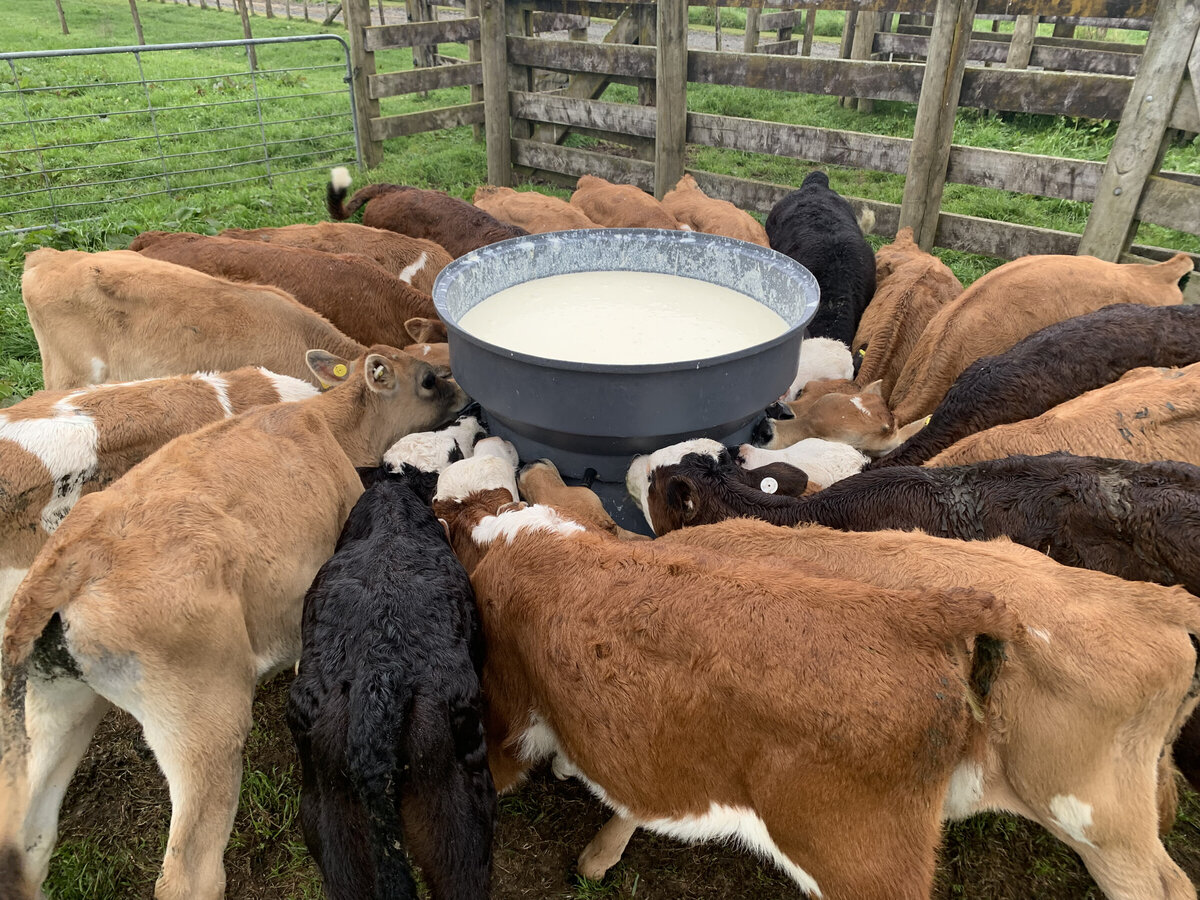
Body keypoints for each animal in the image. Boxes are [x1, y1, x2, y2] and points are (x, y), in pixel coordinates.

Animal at [0, 345, 465, 900]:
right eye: (430, 379)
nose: (467, 398)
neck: (328, 425)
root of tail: (74, 553)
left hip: (55, 705)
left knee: (27, 840)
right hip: (206, 718)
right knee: (189, 874)